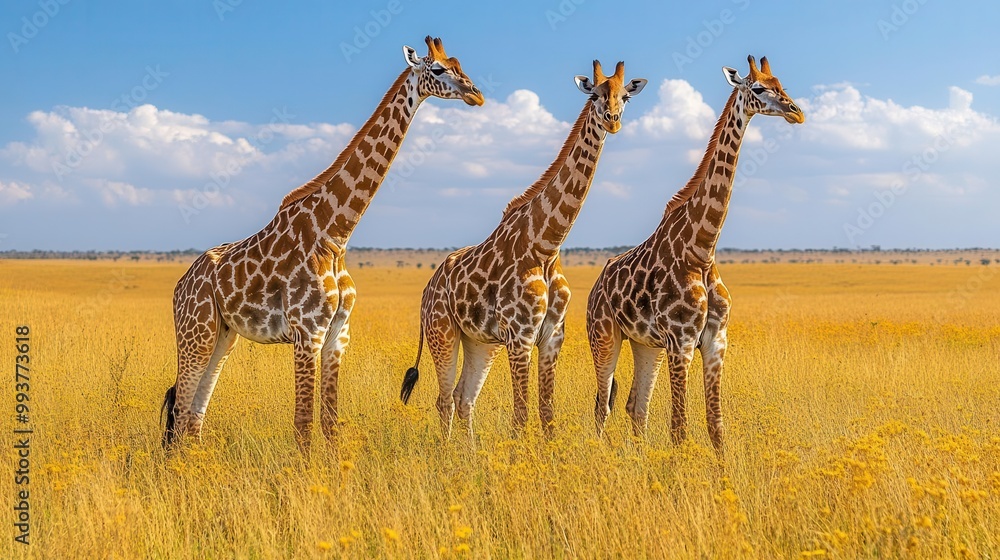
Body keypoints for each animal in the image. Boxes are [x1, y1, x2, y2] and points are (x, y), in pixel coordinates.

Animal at [160, 37, 484, 453]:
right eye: (439, 69)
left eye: (460, 64)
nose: (476, 94)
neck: (335, 234)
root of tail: (180, 284)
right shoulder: (307, 333)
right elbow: (303, 425)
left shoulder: (337, 336)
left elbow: (330, 423)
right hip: (194, 331)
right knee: (181, 406)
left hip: (222, 335)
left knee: (194, 414)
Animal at [399, 60, 648, 438]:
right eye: (594, 94)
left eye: (626, 97)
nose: (612, 119)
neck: (546, 246)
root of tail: (427, 291)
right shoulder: (520, 336)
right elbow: (521, 414)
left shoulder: (552, 337)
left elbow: (546, 412)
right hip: (442, 332)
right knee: (443, 400)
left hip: (479, 341)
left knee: (462, 397)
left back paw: (469, 451)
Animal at [587, 55, 804, 453]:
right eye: (759, 88)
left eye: (782, 84)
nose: (796, 113)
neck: (701, 250)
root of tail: (596, 284)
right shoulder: (682, 341)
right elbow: (679, 428)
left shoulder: (716, 341)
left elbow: (716, 426)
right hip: (605, 335)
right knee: (601, 404)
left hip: (645, 344)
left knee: (635, 405)